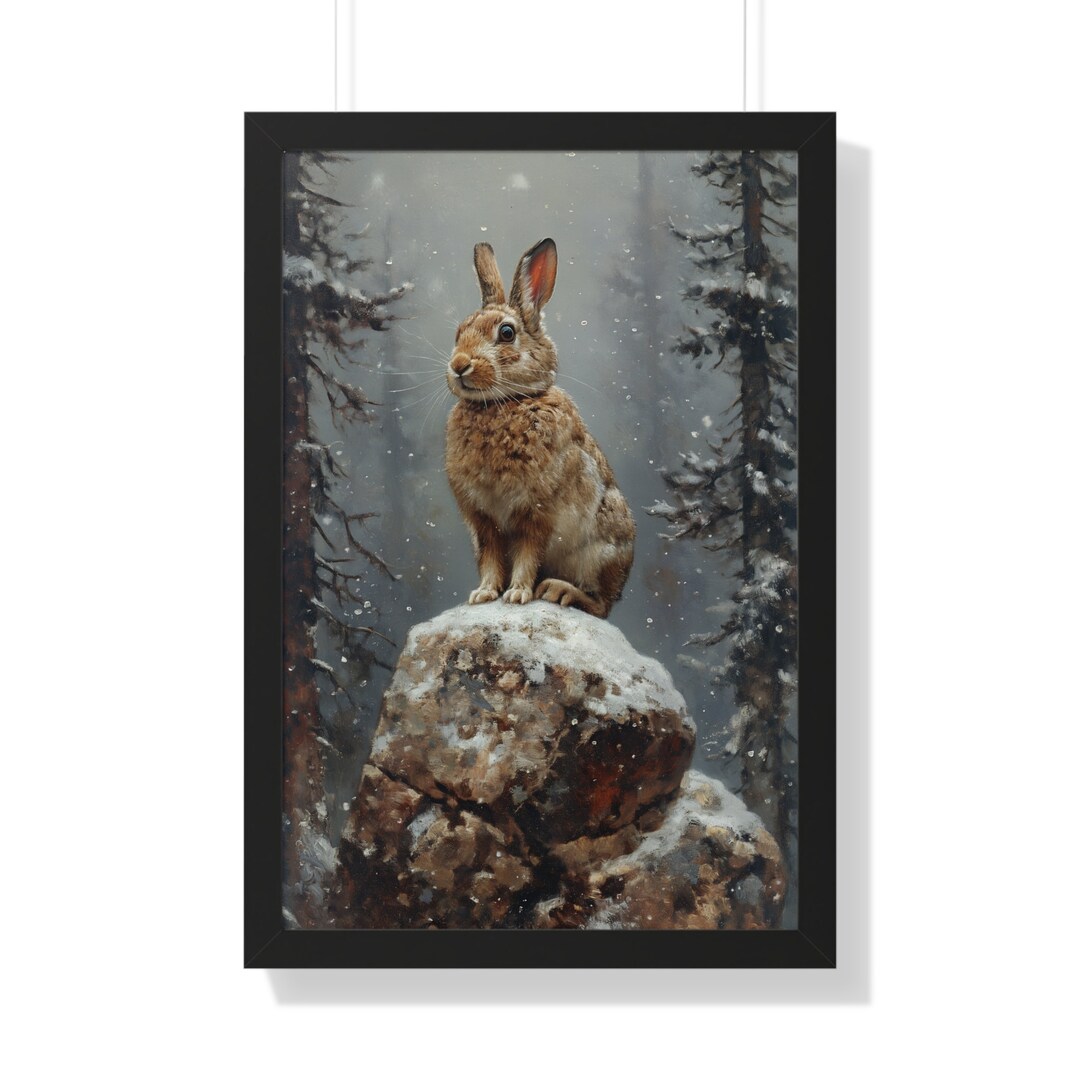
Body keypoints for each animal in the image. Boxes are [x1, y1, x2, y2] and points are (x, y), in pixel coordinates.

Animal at [444, 238, 635, 619]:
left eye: (506, 333)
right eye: (459, 333)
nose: (459, 365)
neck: (502, 404)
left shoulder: (536, 513)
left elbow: (527, 555)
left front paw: (518, 594)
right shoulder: (482, 520)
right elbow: (491, 559)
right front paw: (484, 594)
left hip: (599, 550)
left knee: (600, 605)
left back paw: (560, 591)